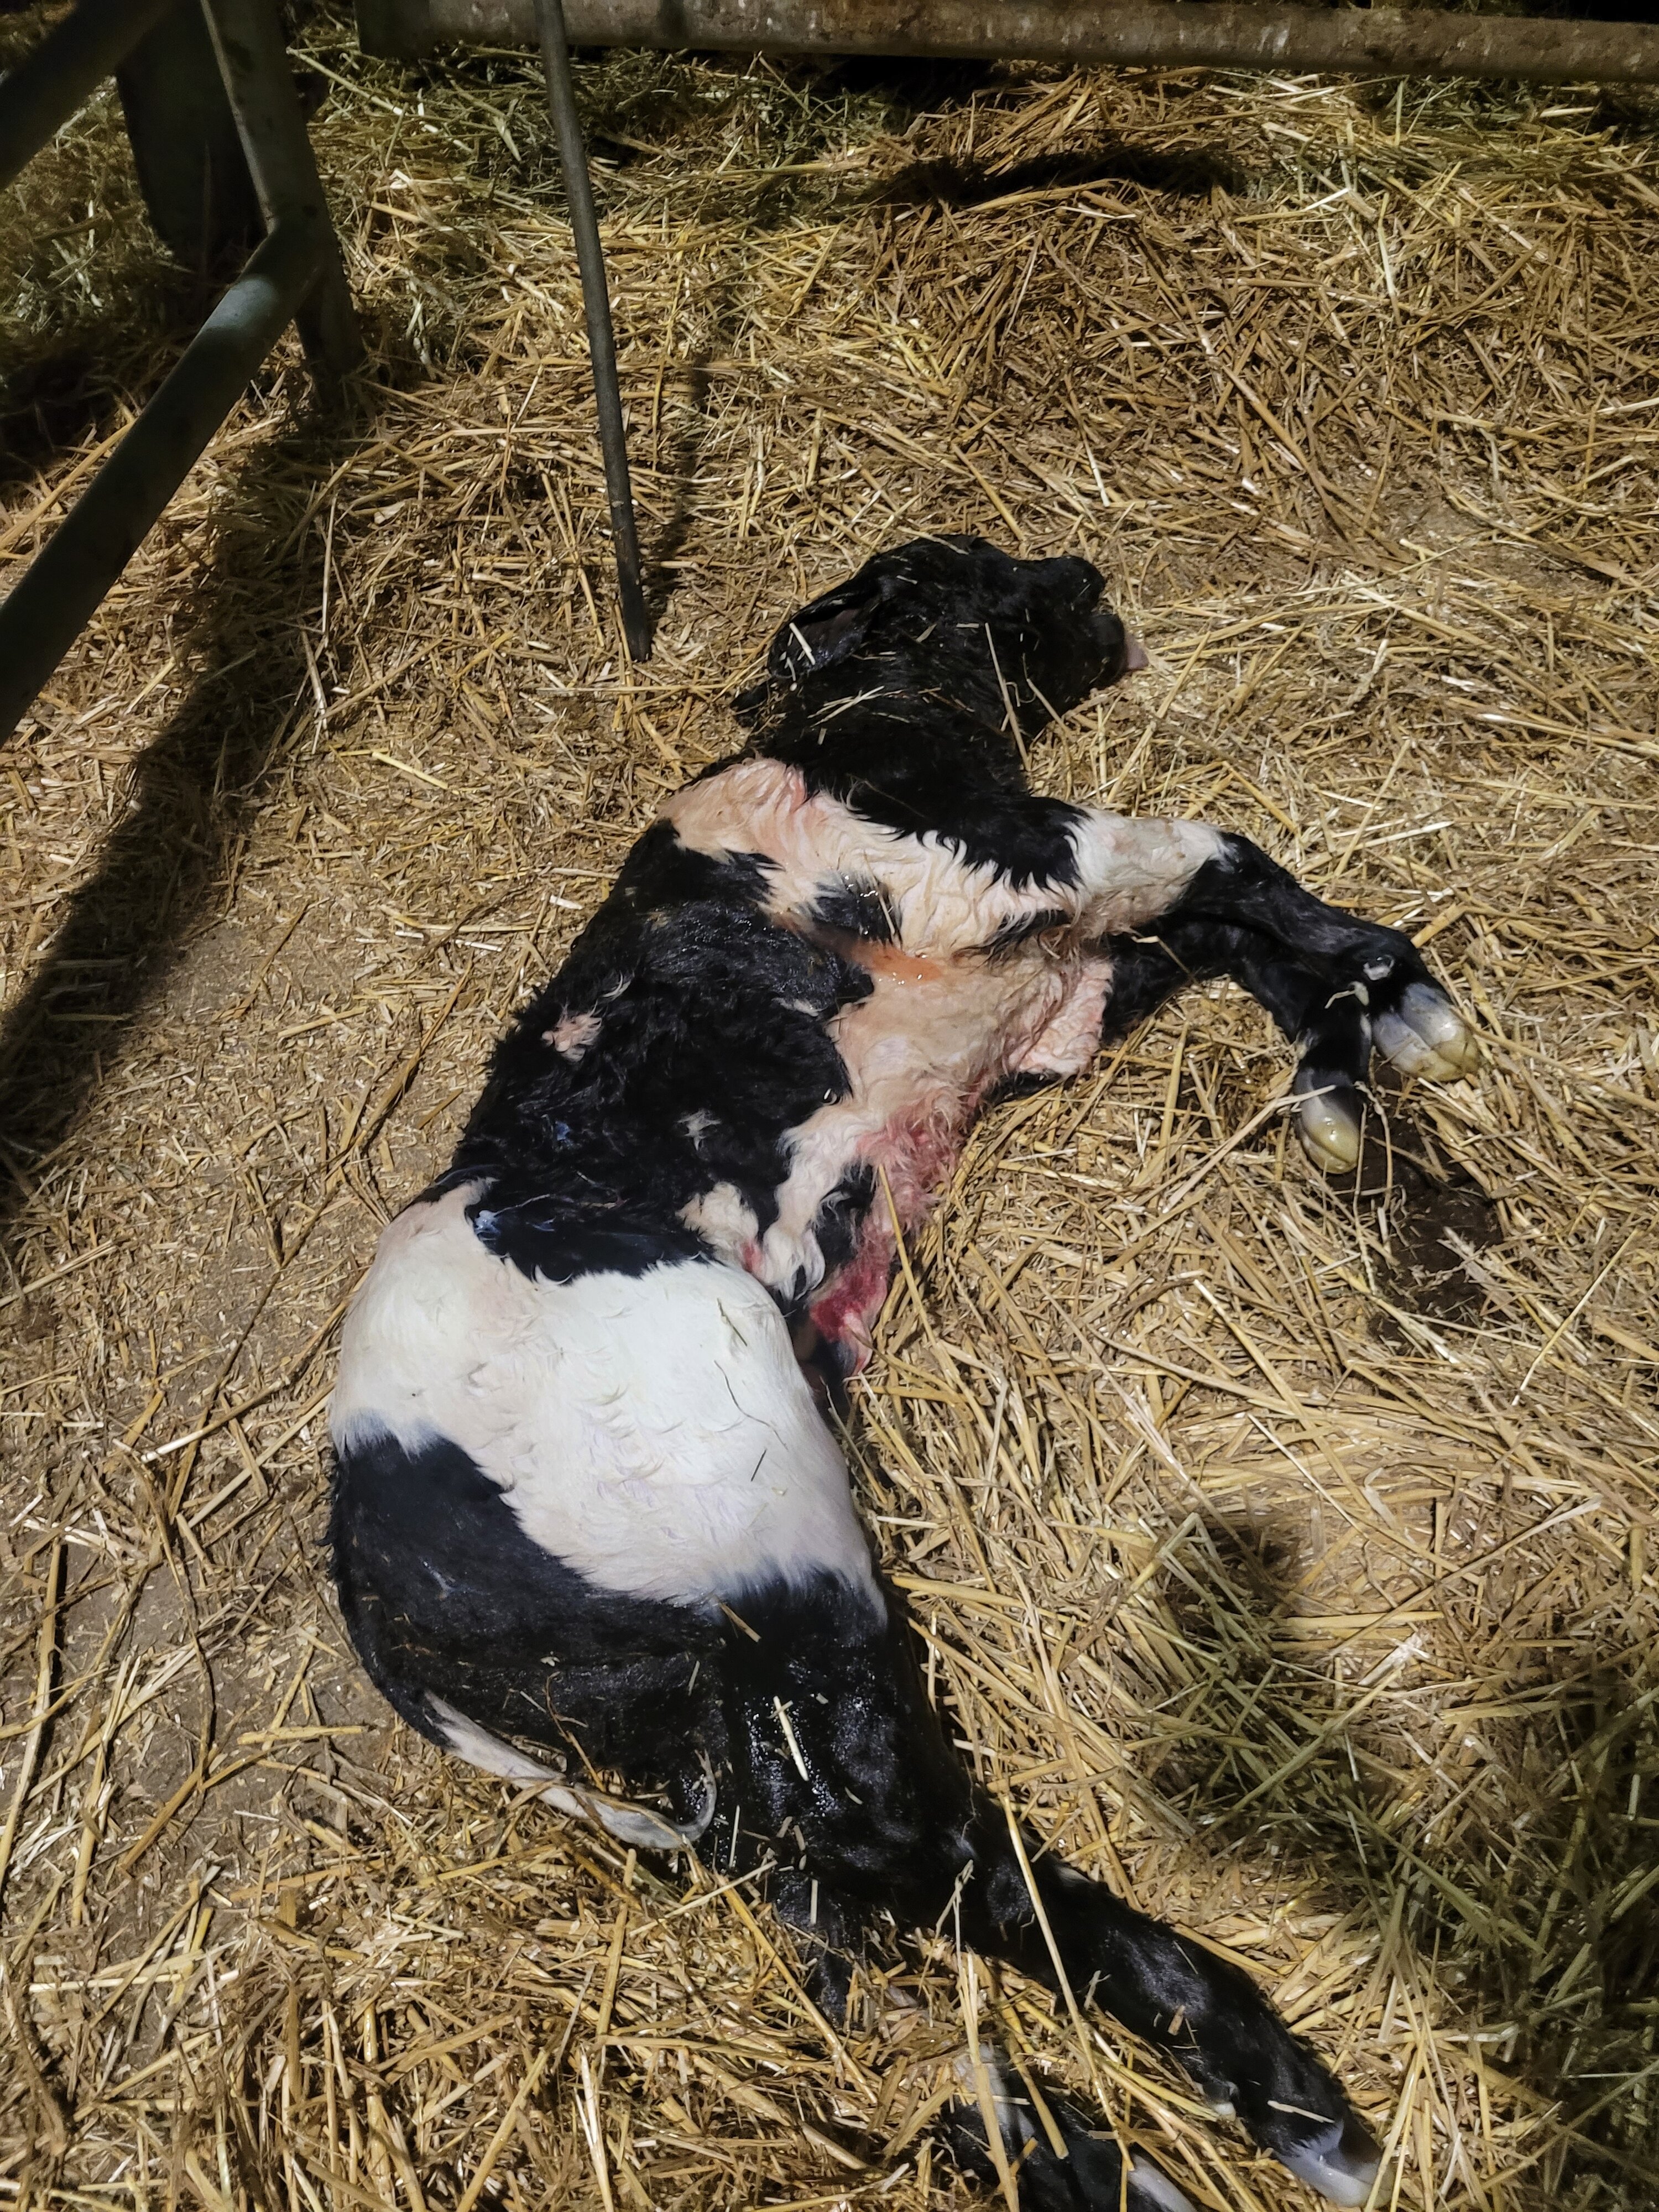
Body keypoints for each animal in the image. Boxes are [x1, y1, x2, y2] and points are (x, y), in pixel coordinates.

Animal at [329, 535, 1474, 2209]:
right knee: (908, 1836)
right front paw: (1392, 1015)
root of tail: (370, 1570)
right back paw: (1287, 2092)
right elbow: (1219, 853)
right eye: (951, 573)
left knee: (845, 1925)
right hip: (758, 1544)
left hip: (689, 1731)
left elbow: (1214, 928)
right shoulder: (1004, 860)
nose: (1083, 573)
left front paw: (1354, 1058)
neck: (861, 727)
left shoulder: (1058, 991)